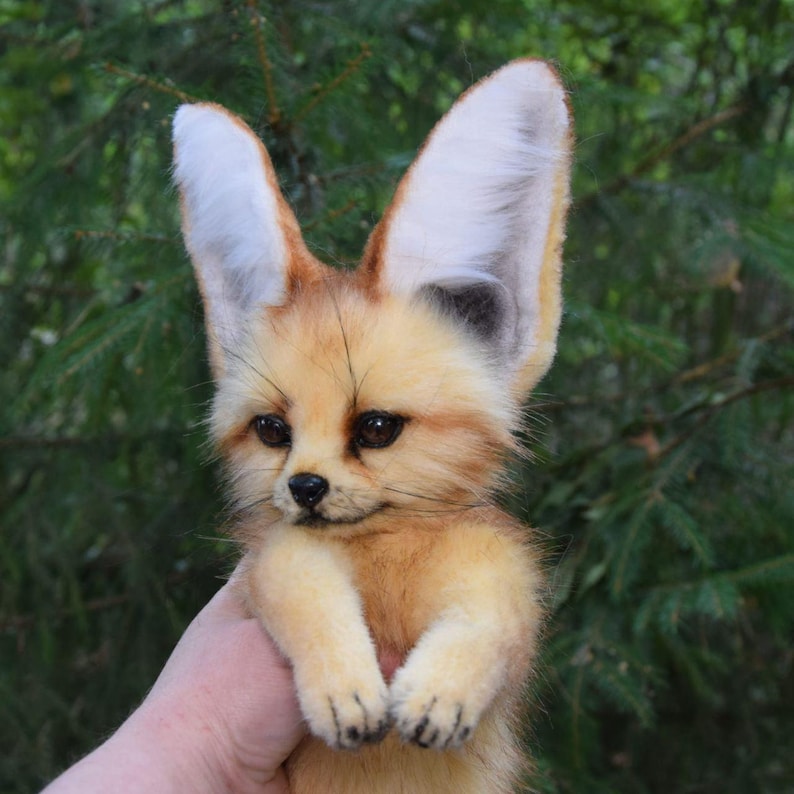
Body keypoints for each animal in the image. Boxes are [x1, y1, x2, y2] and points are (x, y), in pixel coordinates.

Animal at [172, 58, 572, 794]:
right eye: (272, 430)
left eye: (377, 427)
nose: (304, 488)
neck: (380, 559)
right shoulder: (273, 564)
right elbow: (309, 595)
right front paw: (344, 689)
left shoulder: (502, 575)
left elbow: (485, 627)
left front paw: (441, 694)